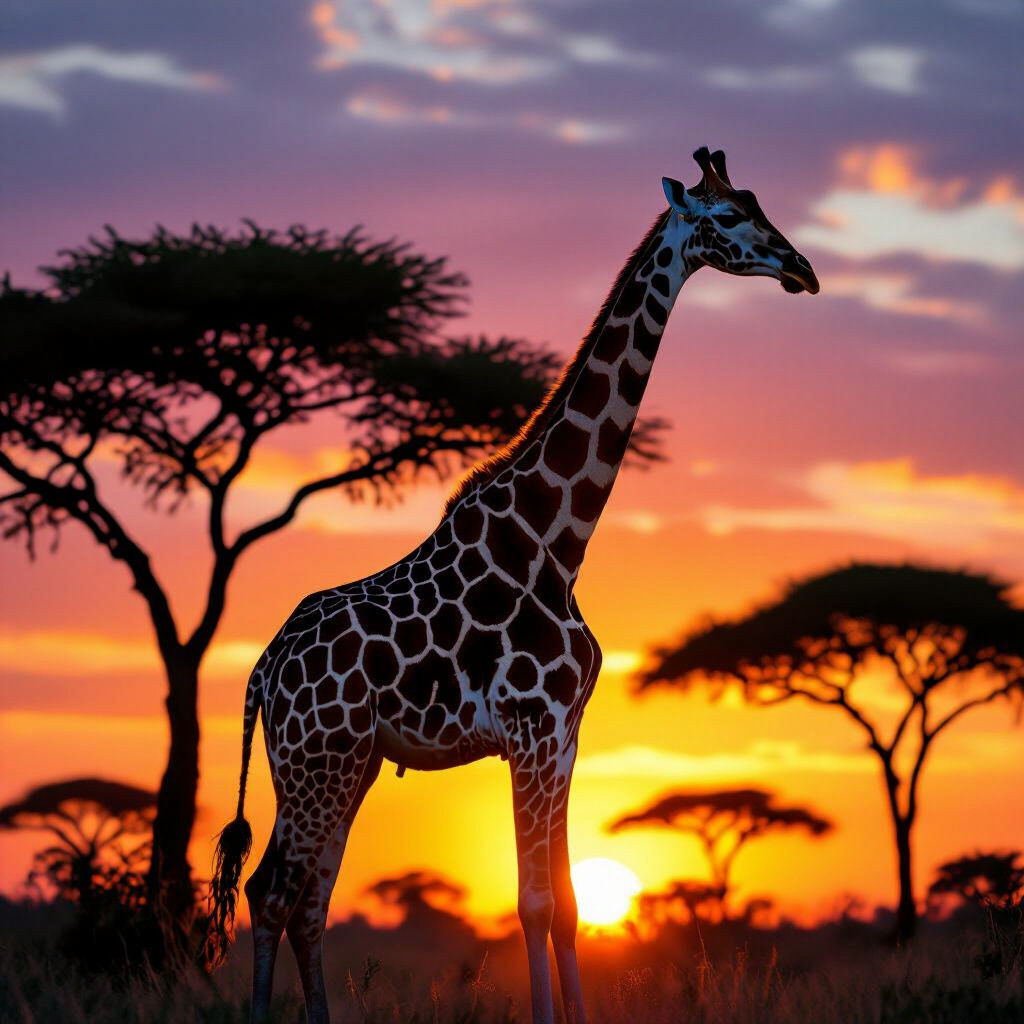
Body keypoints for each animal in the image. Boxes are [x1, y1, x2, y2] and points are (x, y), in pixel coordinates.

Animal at [205, 146, 819, 1024]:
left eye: (760, 205)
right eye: (730, 216)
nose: (802, 269)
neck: (556, 542)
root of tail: (263, 670)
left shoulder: (565, 733)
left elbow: (568, 904)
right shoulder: (530, 729)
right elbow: (532, 902)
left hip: (345, 763)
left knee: (306, 896)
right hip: (317, 759)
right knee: (274, 891)